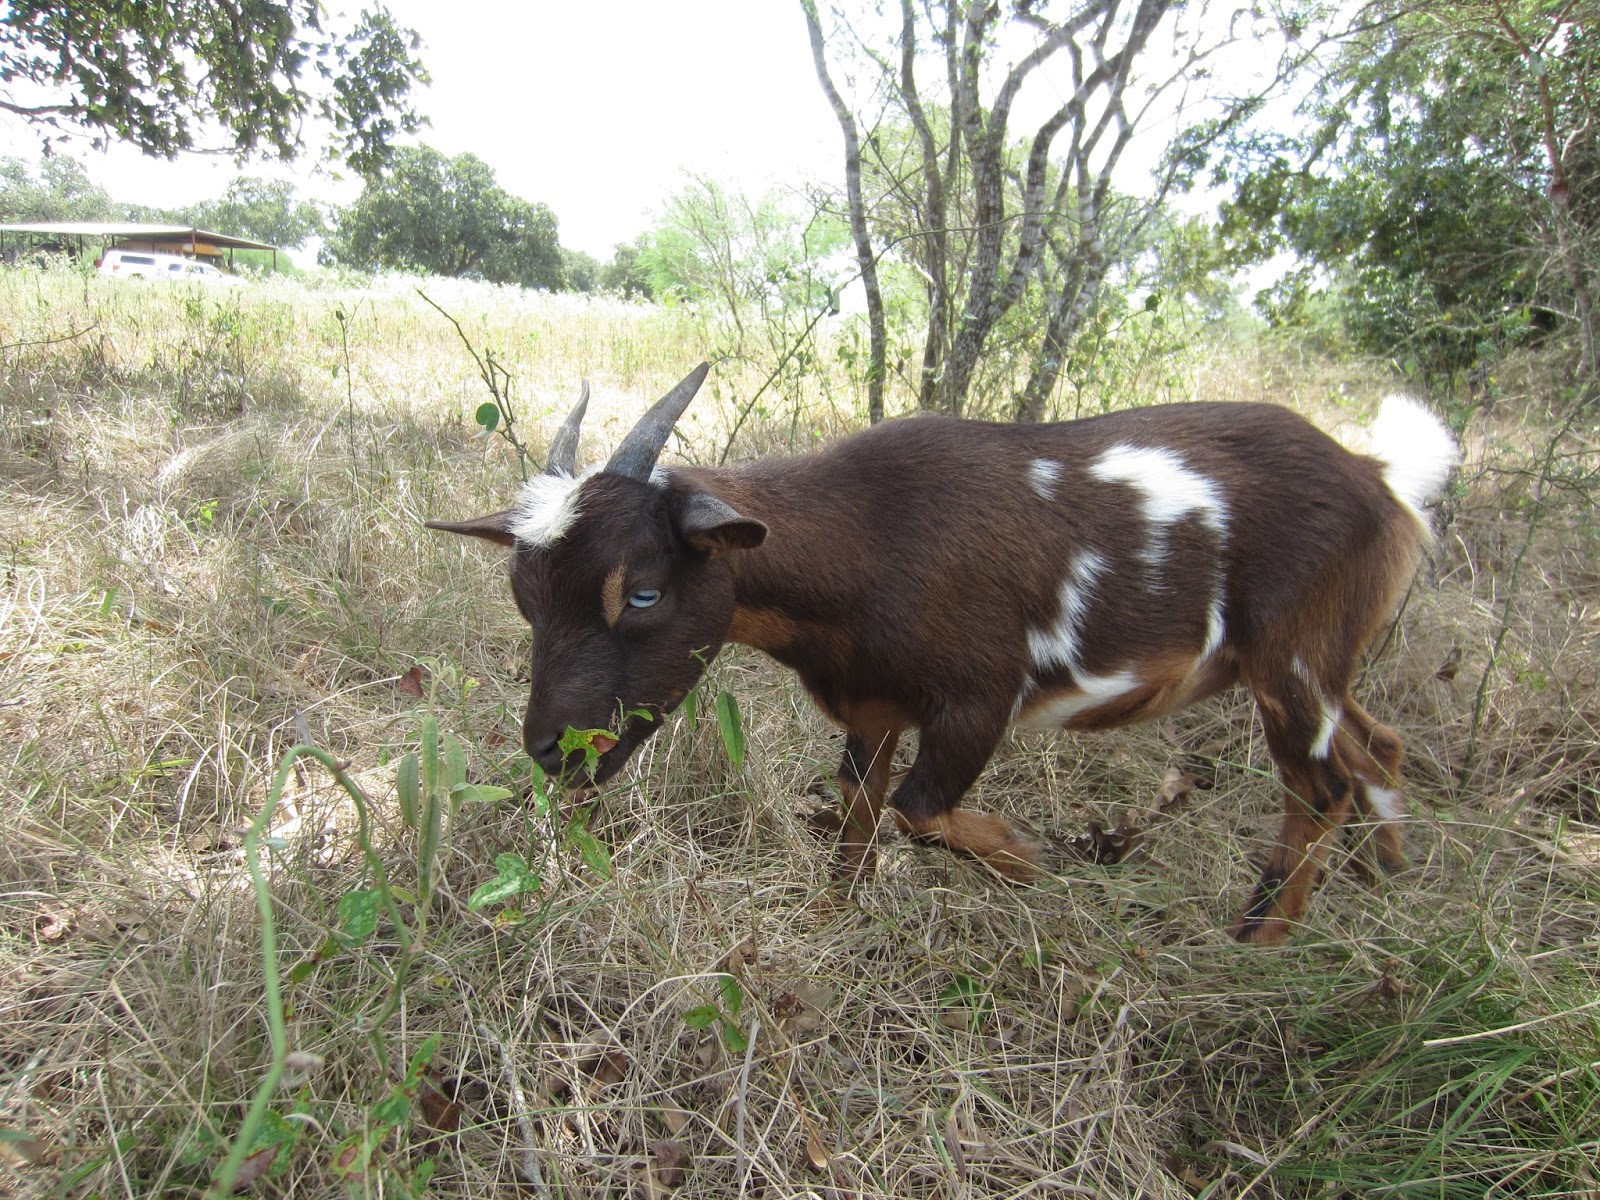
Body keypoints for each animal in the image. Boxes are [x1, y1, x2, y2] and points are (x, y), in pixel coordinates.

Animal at [428, 364, 1457, 943]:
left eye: (640, 592)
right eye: (524, 598)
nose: (551, 749)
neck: (870, 541)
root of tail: (1381, 480)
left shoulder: (979, 696)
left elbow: (920, 812)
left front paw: (1030, 864)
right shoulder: (873, 707)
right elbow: (857, 820)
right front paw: (834, 933)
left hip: (1292, 655)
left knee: (1319, 786)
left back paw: (1255, 948)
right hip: (1312, 660)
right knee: (1379, 746)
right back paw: (1388, 879)